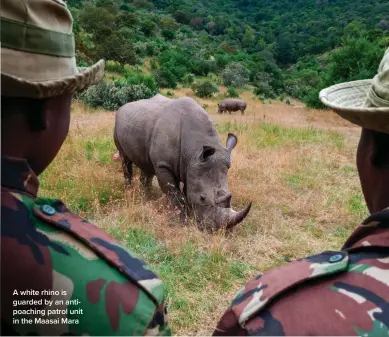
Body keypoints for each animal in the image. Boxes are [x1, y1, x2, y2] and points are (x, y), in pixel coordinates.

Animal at [112, 93, 252, 230]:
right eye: (202, 198)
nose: (218, 229)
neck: (193, 150)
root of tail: (123, 107)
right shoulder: (164, 165)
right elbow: (175, 194)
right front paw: (182, 222)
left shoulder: (192, 166)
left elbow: (186, 191)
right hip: (117, 124)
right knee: (125, 159)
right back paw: (129, 191)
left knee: (147, 165)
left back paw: (147, 197)